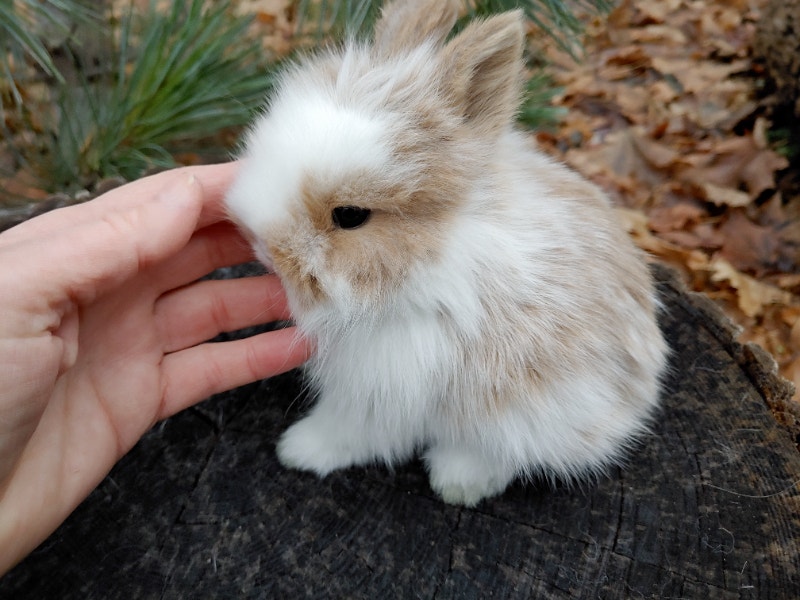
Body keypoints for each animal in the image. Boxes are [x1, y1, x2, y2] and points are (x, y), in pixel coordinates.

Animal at [225, 0, 669, 507]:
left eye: (351, 215)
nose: (264, 247)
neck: (429, 263)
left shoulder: (383, 386)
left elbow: (350, 431)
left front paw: (298, 451)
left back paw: (458, 484)